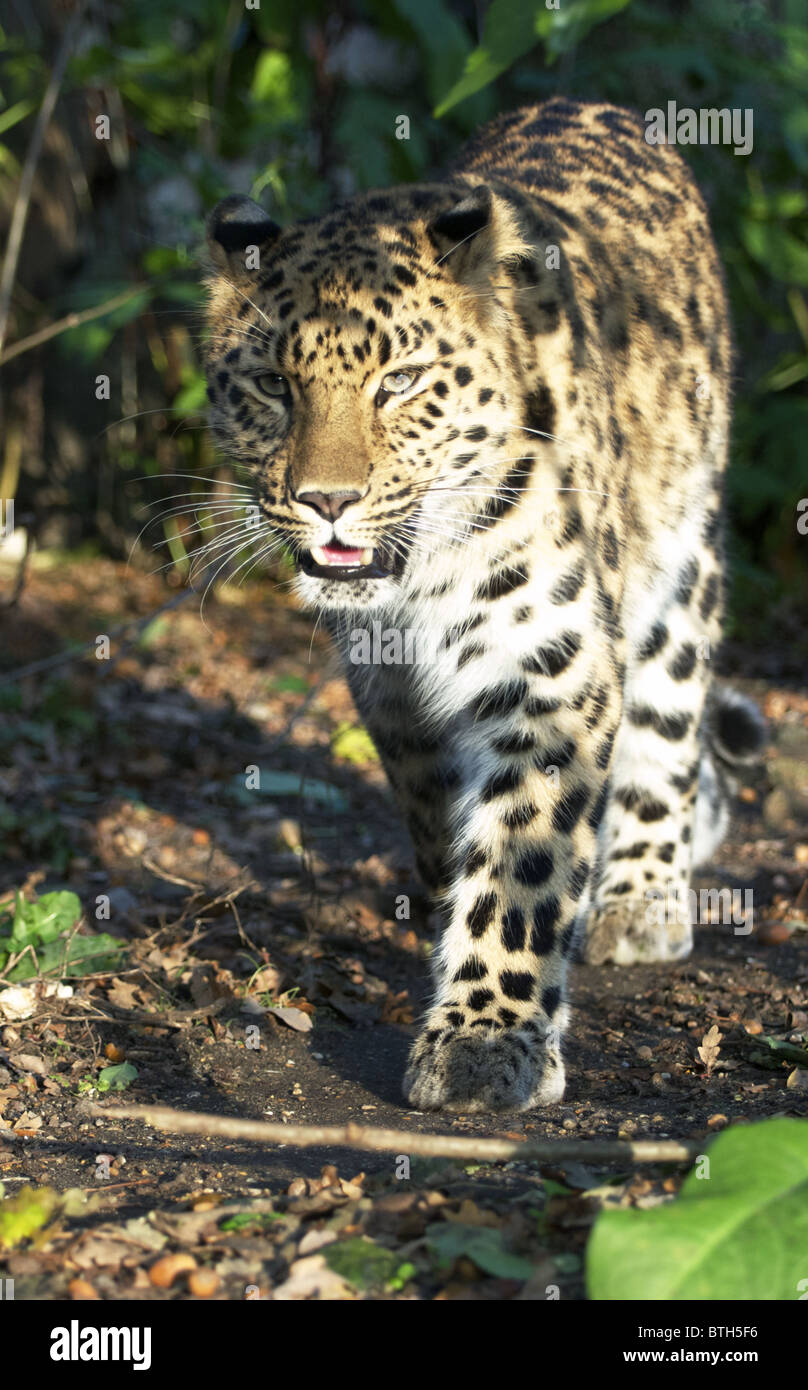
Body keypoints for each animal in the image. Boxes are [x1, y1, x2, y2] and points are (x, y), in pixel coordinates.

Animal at [203, 97, 764, 1113]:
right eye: (273, 385)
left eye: (399, 382)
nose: (326, 499)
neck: (421, 582)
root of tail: (597, 106)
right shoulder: (394, 702)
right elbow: (446, 832)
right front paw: (450, 937)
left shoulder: (552, 673)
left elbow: (523, 866)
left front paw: (487, 1037)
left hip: (683, 558)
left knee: (667, 725)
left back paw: (640, 898)